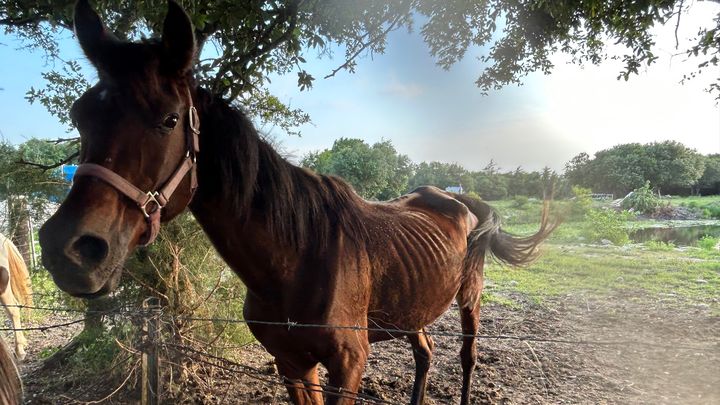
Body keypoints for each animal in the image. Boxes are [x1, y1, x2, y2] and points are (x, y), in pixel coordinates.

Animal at [39, 1, 557, 403]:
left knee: (468, 357)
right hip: (415, 307)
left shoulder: (347, 367)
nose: (69, 250)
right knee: (425, 354)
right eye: (80, 115)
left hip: (470, 298)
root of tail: (459, 201)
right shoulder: (291, 364)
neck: (297, 257)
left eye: (169, 119)